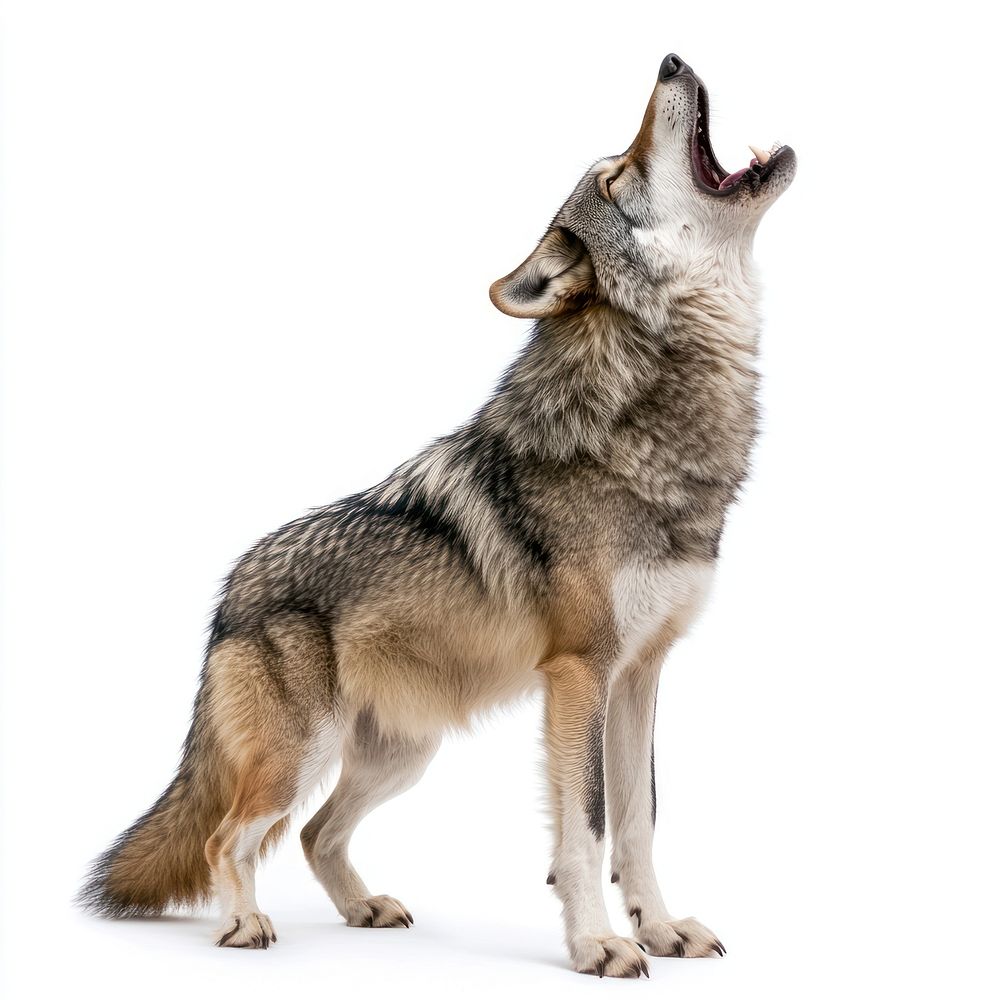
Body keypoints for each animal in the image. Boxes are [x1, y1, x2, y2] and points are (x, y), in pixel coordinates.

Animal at [80, 53, 795, 977]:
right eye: (617, 175)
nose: (672, 60)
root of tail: (228, 596)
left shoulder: (640, 674)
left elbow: (640, 821)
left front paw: (661, 929)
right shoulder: (580, 675)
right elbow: (588, 827)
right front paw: (597, 944)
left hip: (402, 757)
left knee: (312, 834)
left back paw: (364, 909)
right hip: (303, 754)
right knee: (229, 838)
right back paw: (244, 925)